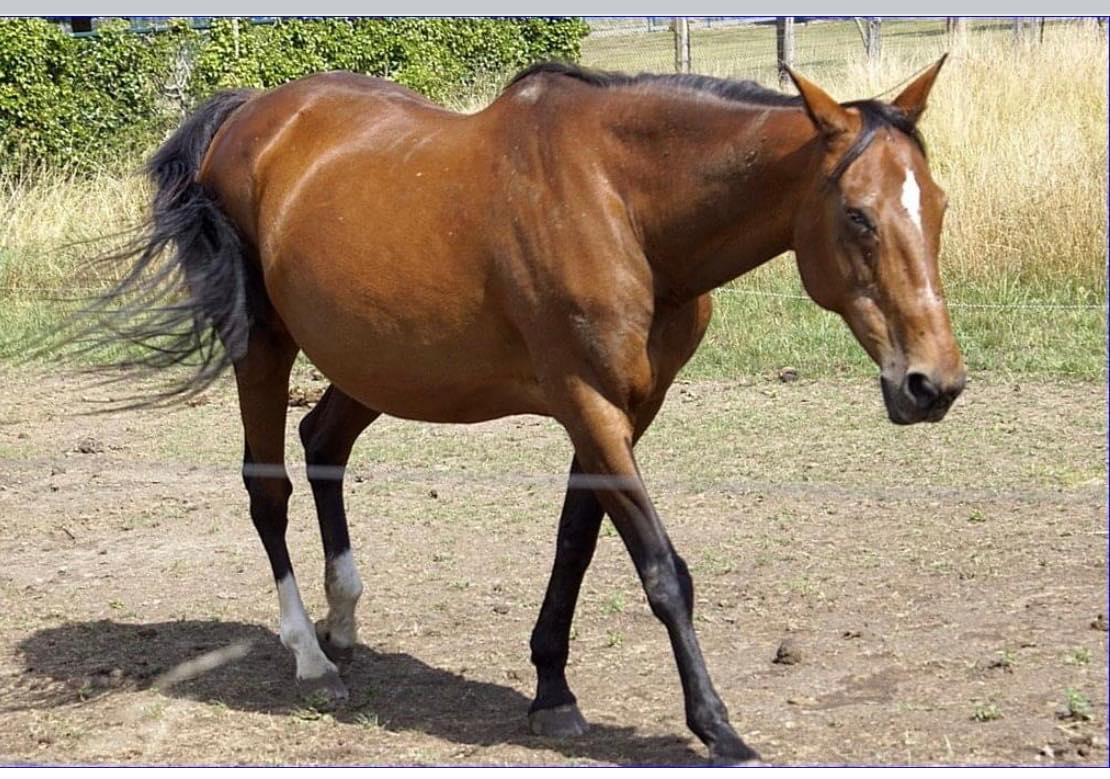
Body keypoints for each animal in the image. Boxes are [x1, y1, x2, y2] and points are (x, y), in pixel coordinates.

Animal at [82, 57, 965, 764]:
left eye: (938, 204)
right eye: (858, 214)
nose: (934, 383)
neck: (624, 205)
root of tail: (251, 115)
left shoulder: (625, 410)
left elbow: (576, 544)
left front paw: (553, 692)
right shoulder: (587, 402)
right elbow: (662, 569)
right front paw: (716, 725)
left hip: (376, 363)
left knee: (322, 443)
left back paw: (345, 620)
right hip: (262, 345)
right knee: (268, 488)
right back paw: (311, 655)